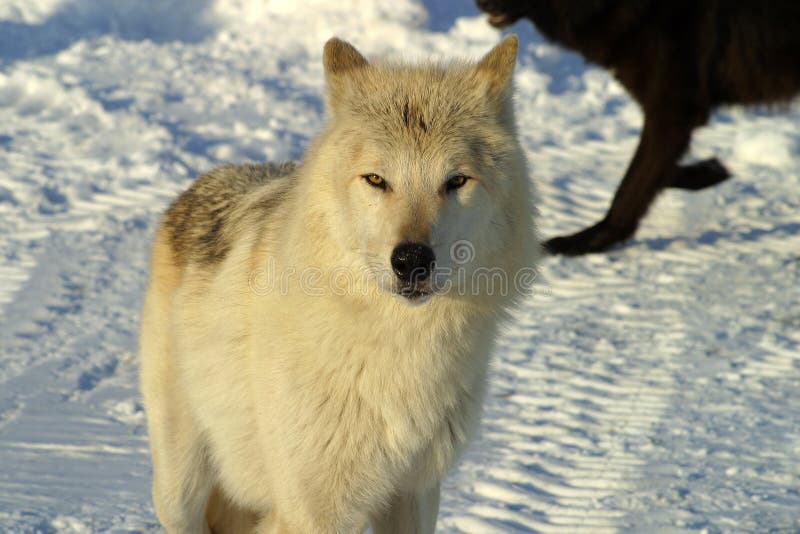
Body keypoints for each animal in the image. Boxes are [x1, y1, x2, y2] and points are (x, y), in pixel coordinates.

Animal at [139, 35, 538, 533]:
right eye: (376, 179)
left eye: (457, 181)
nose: (411, 260)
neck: (399, 349)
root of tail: (199, 184)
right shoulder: (317, 510)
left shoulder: (415, 492)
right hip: (180, 491)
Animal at [478, 0, 800, 255]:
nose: (482, 3)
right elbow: (650, 175)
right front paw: (709, 171)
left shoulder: (671, 110)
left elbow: (631, 184)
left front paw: (590, 240)